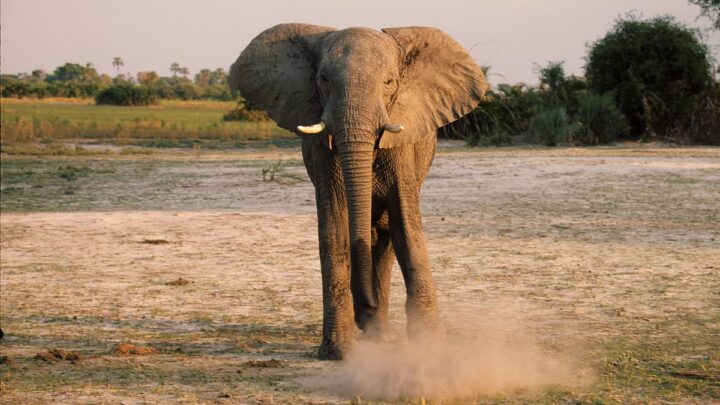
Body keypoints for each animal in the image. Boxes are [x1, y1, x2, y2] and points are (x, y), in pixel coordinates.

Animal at [231, 23, 490, 358]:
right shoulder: (323, 151)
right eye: (322, 80)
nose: (366, 306)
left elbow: (407, 228)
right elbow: (334, 230)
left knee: (386, 237)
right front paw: (338, 353)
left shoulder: (403, 142)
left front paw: (430, 346)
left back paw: (382, 336)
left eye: (390, 82)